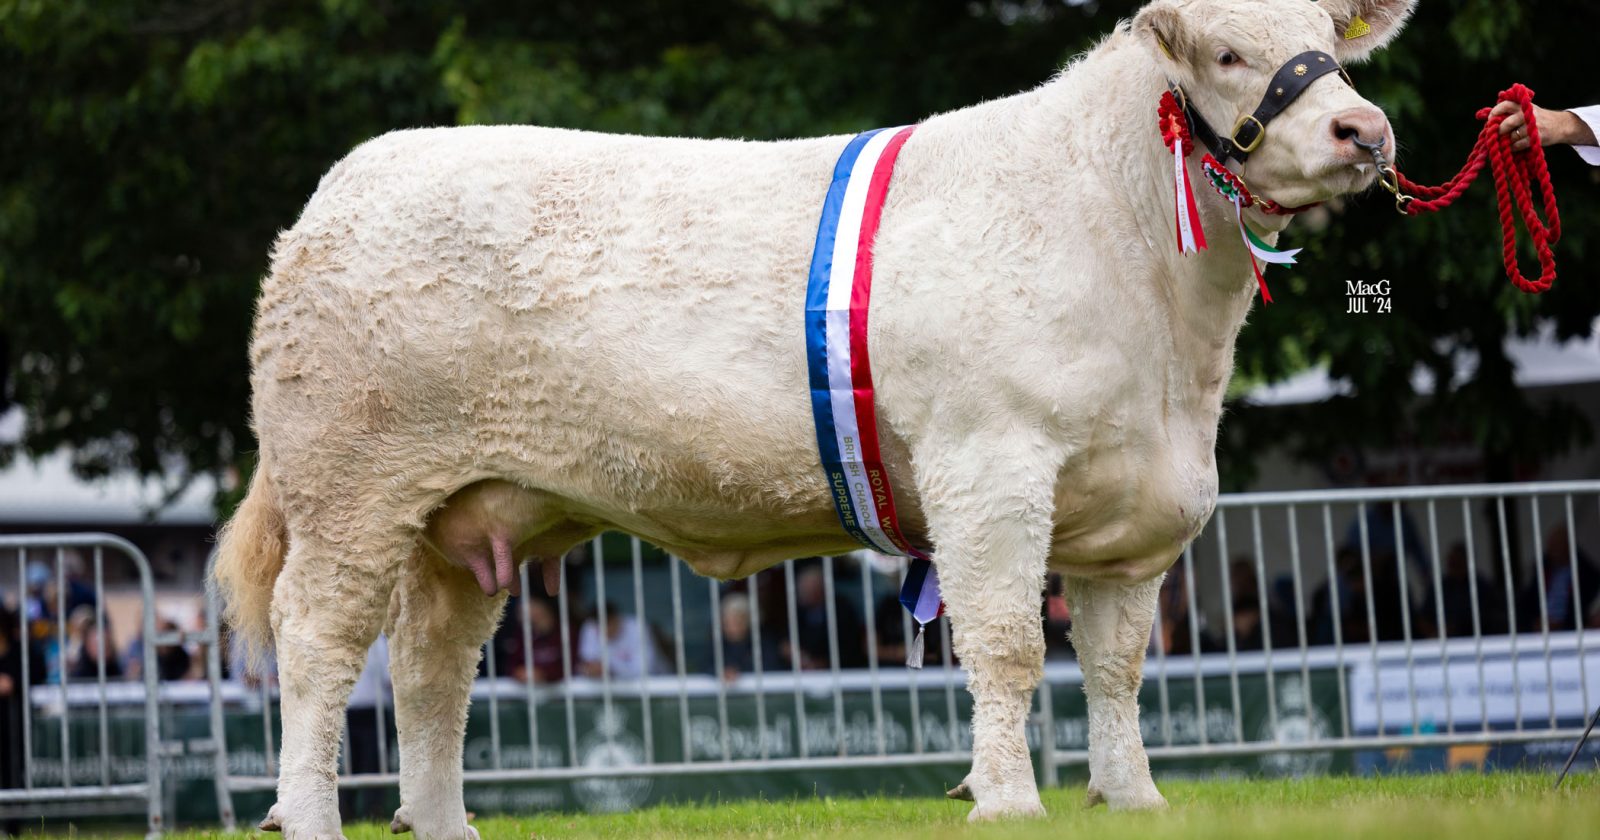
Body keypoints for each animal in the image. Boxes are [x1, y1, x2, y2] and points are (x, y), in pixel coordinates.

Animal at [211, 0, 1415, 836]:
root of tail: (353, 177)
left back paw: (443, 821)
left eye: (1330, 41)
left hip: (461, 512)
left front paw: (1133, 800)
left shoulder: (1139, 503)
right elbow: (1008, 644)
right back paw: (308, 815)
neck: (1168, 341)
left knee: (431, 666)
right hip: (351, 484)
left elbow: (1117, 665)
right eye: (1228, 54)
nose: (1363, 129)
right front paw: (1008, 800)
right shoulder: (989, 465)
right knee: (318, 643)